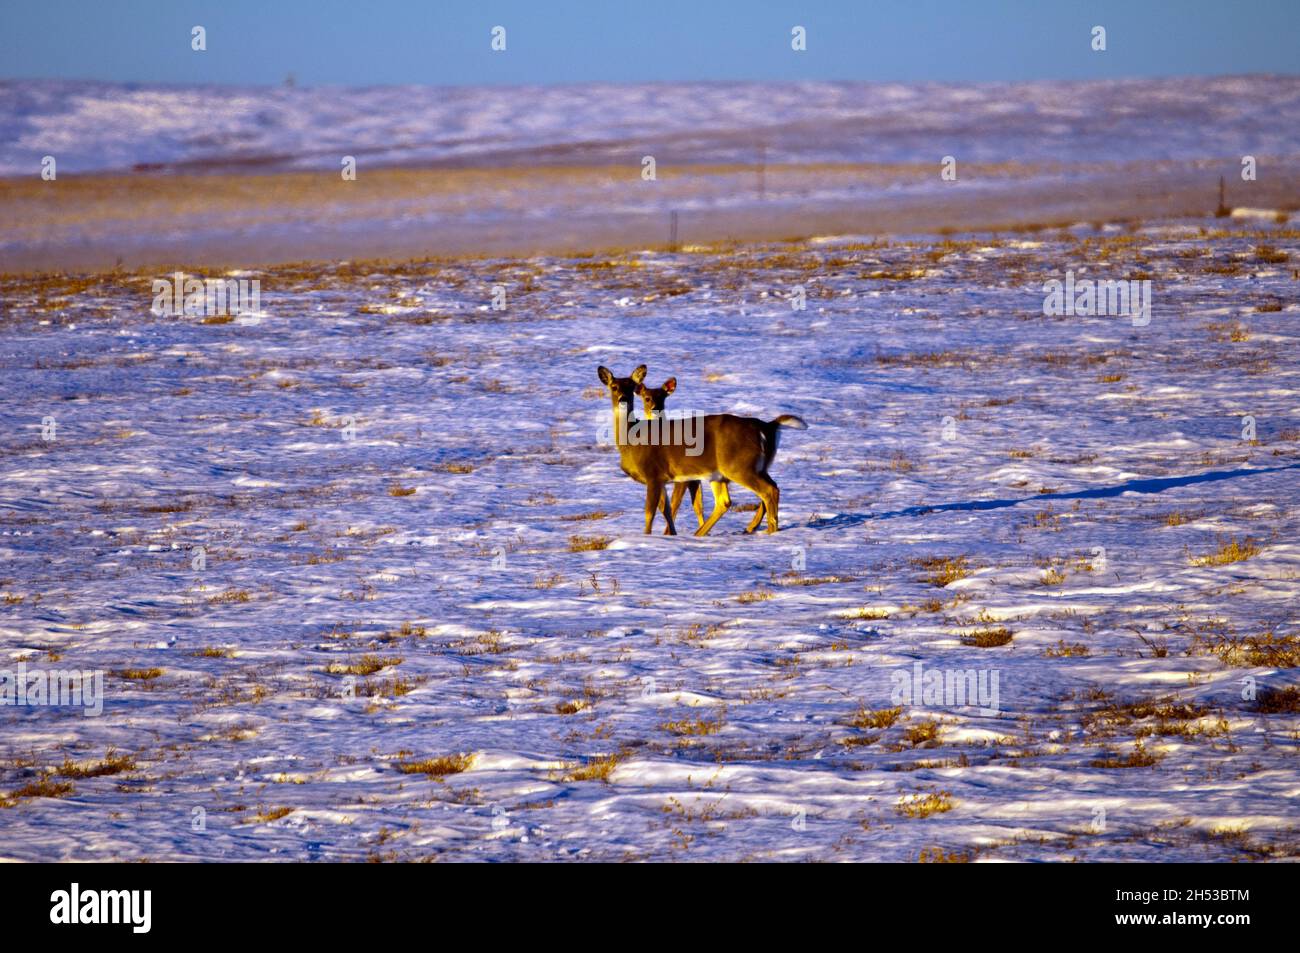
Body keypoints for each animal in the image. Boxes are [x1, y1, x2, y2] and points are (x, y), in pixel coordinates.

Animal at [597, 365, 807, 535]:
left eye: (631, 387)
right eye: (614, 387)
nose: (623, 399)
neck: (632, 439)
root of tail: (767, 426)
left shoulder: (653, 473)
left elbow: (651, 512)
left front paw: (646, 537)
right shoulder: (663, 478)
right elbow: (667, 510)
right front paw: (670, 536)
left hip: (739, 466)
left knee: (768, 491)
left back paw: (770, 532)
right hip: (737, 470)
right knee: (727, 500)